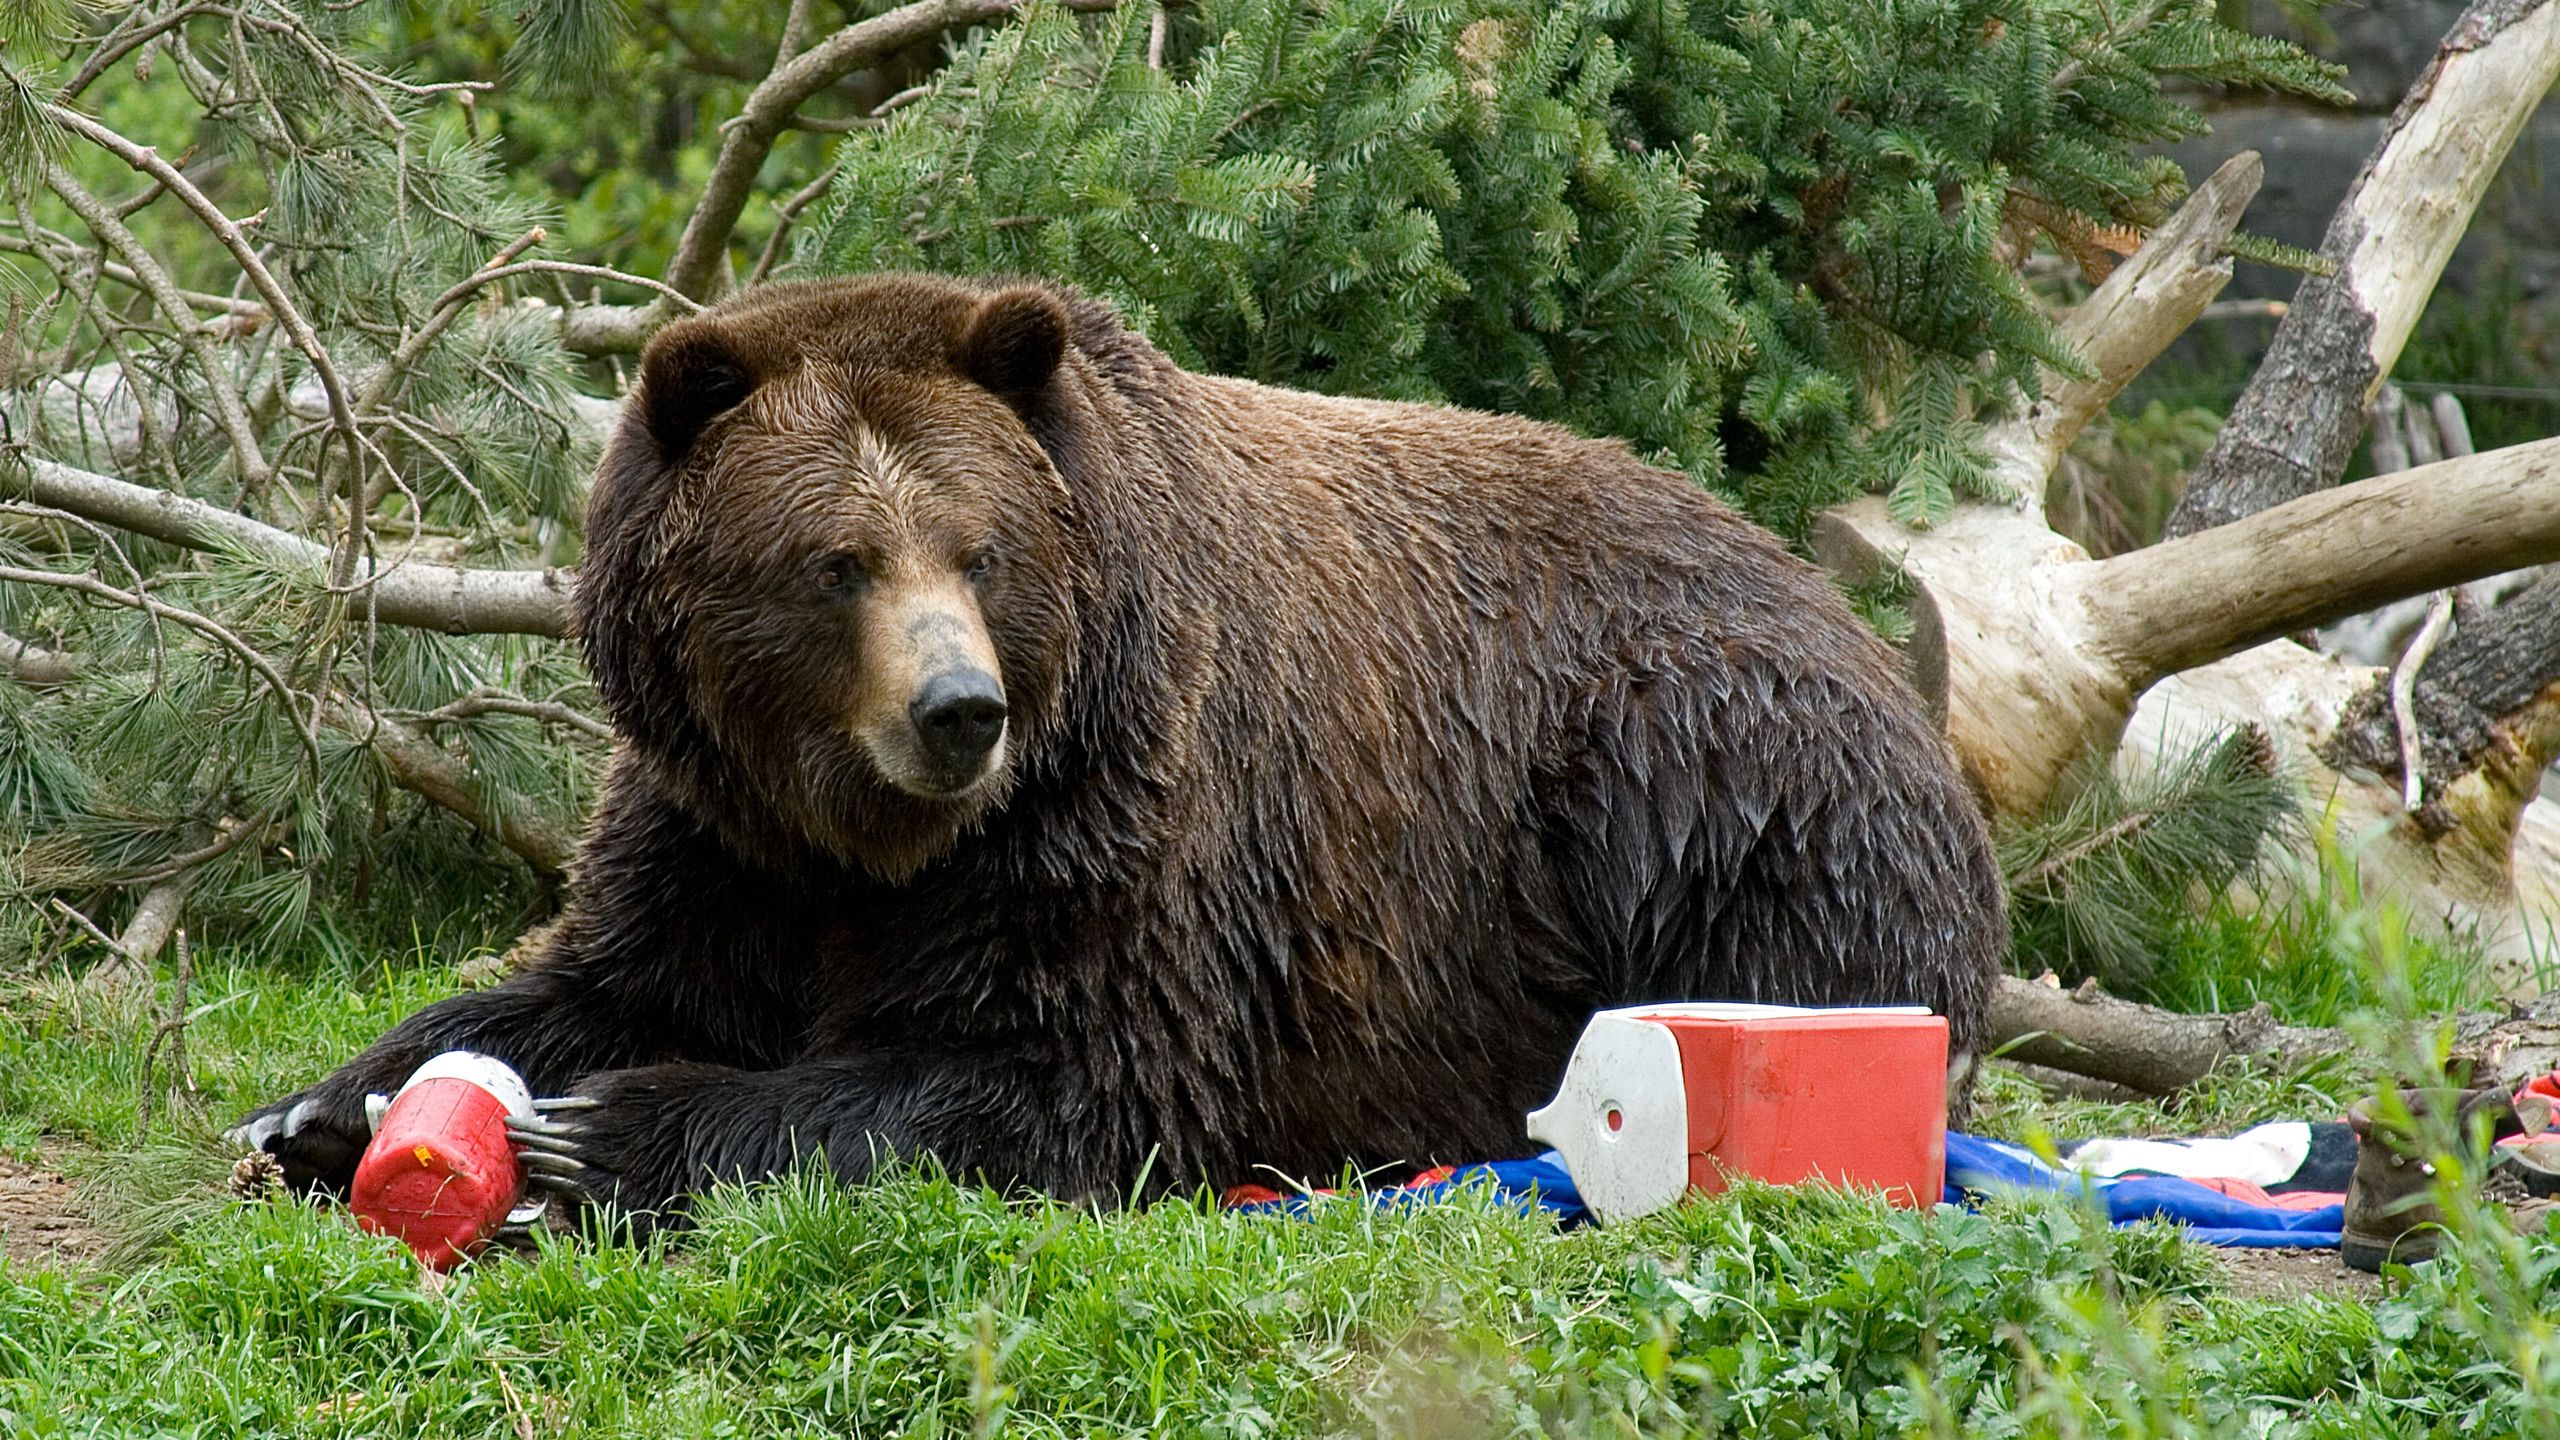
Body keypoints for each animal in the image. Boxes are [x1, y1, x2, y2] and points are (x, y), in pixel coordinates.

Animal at [236, 273, 2005, 1219]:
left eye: (981, 548)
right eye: (835, 561)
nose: (958, 711)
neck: (870, 835)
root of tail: (1857, 631)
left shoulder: (1124, 808)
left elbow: (1065, 1072)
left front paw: (607, 1130)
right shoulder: (716, 824)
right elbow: (601, 967)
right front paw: (319, 1110)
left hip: (1691, 769)